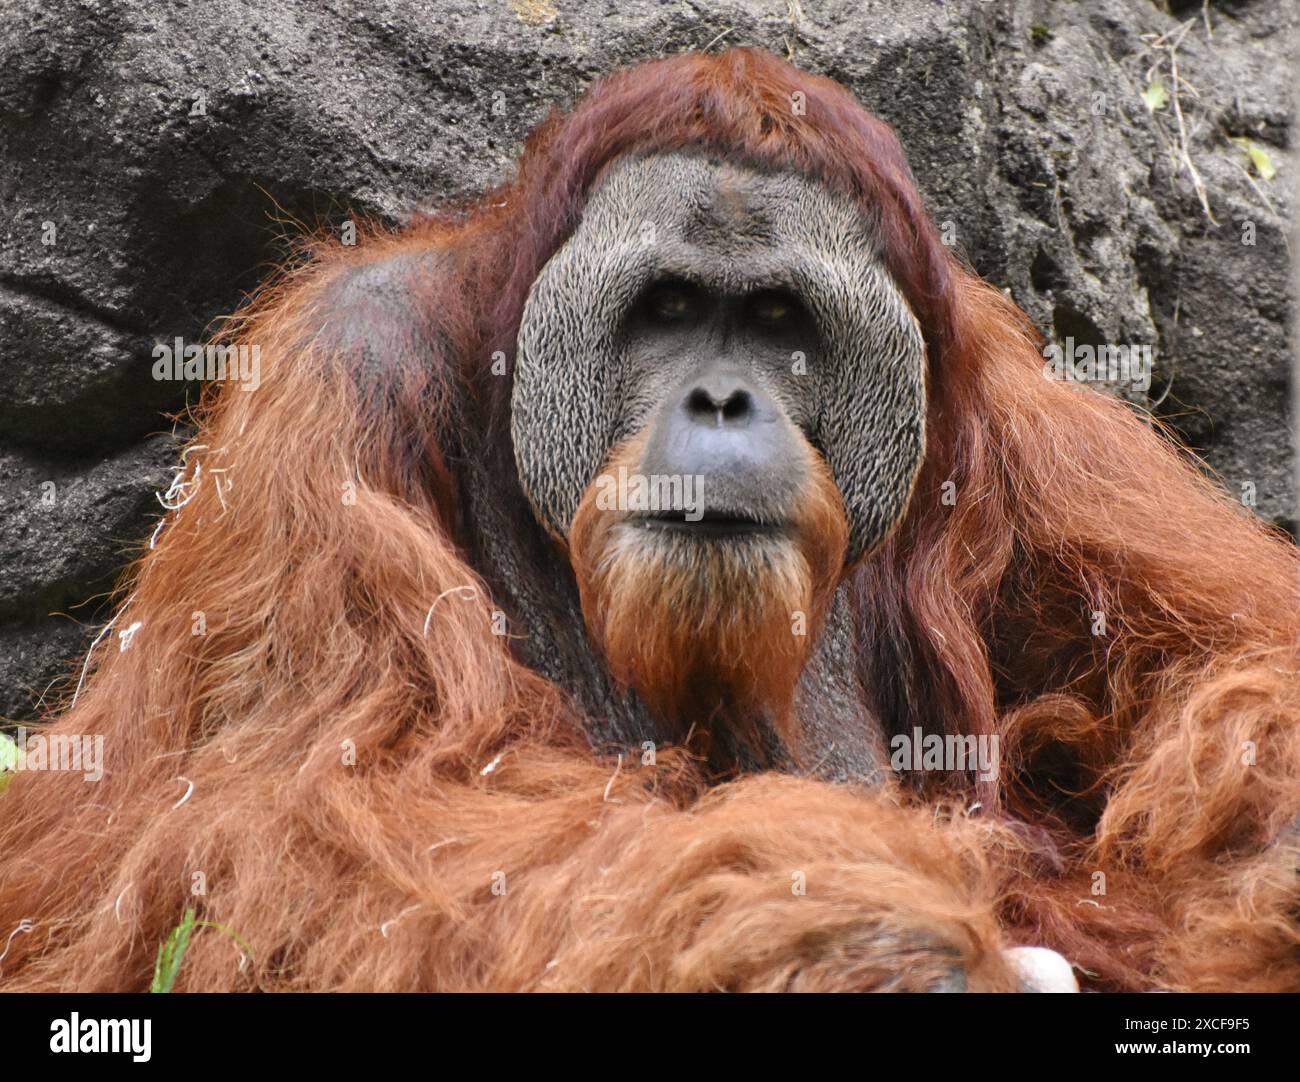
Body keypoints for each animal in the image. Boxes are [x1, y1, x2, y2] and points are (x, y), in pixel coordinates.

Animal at [0, 47, 1296, 993]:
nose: (719, 398)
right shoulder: (341, 374)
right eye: (667, 308)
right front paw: (867, 943)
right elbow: (298, 818)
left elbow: (1230, 657)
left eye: (776, 319)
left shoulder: (1010, 416)